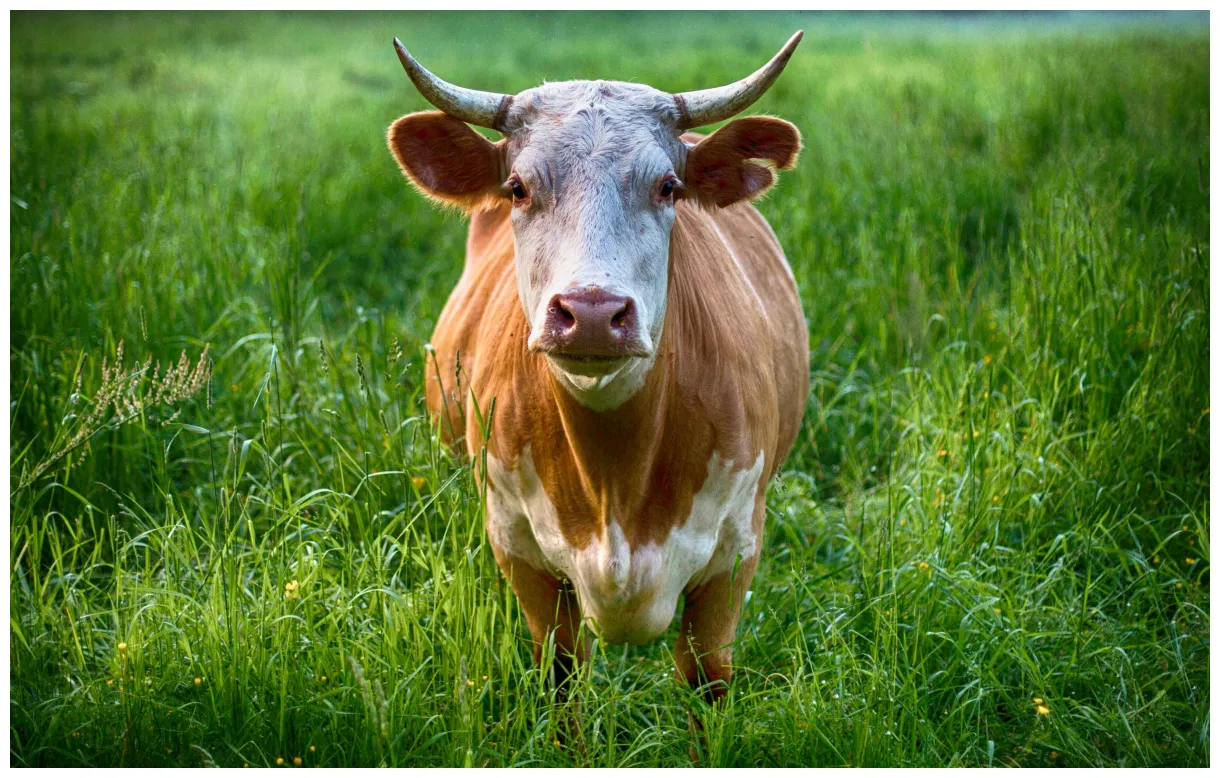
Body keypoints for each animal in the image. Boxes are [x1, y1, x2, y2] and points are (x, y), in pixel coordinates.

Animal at [386, 32, 810, 707]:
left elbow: (706, 681)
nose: (590, 313)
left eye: (668, 186)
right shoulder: (518, 548)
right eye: (517, 187)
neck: (615, 476)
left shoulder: (735, 553)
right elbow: (562, 677)